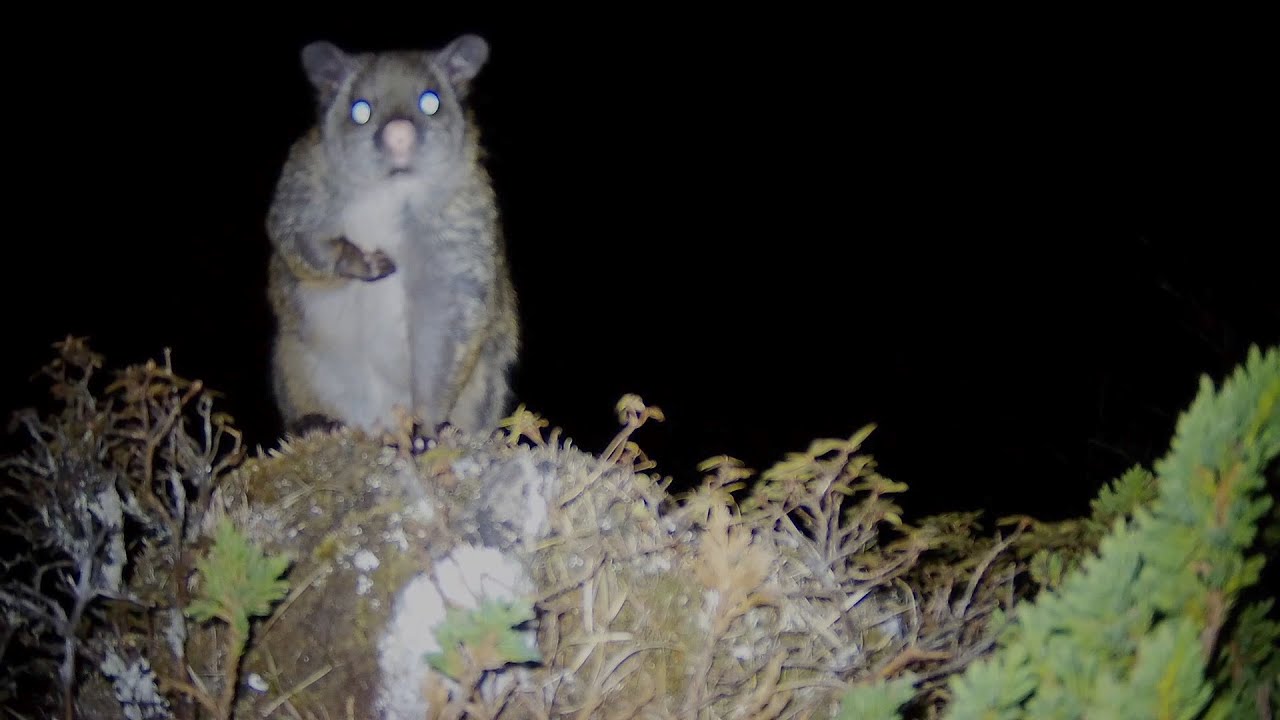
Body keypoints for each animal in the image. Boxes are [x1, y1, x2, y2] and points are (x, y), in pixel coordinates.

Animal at [265, 34, 519, 442]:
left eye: (431, 101)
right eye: (360, 110)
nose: (399, 135)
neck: (391, 188)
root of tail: (378, 421)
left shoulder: (465, 216)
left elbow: (447, 320)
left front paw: (427, 426)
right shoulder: (302, 182)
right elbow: (294, 237)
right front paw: (358, 261)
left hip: (484, 385)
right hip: (293, 363)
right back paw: (314, 422)